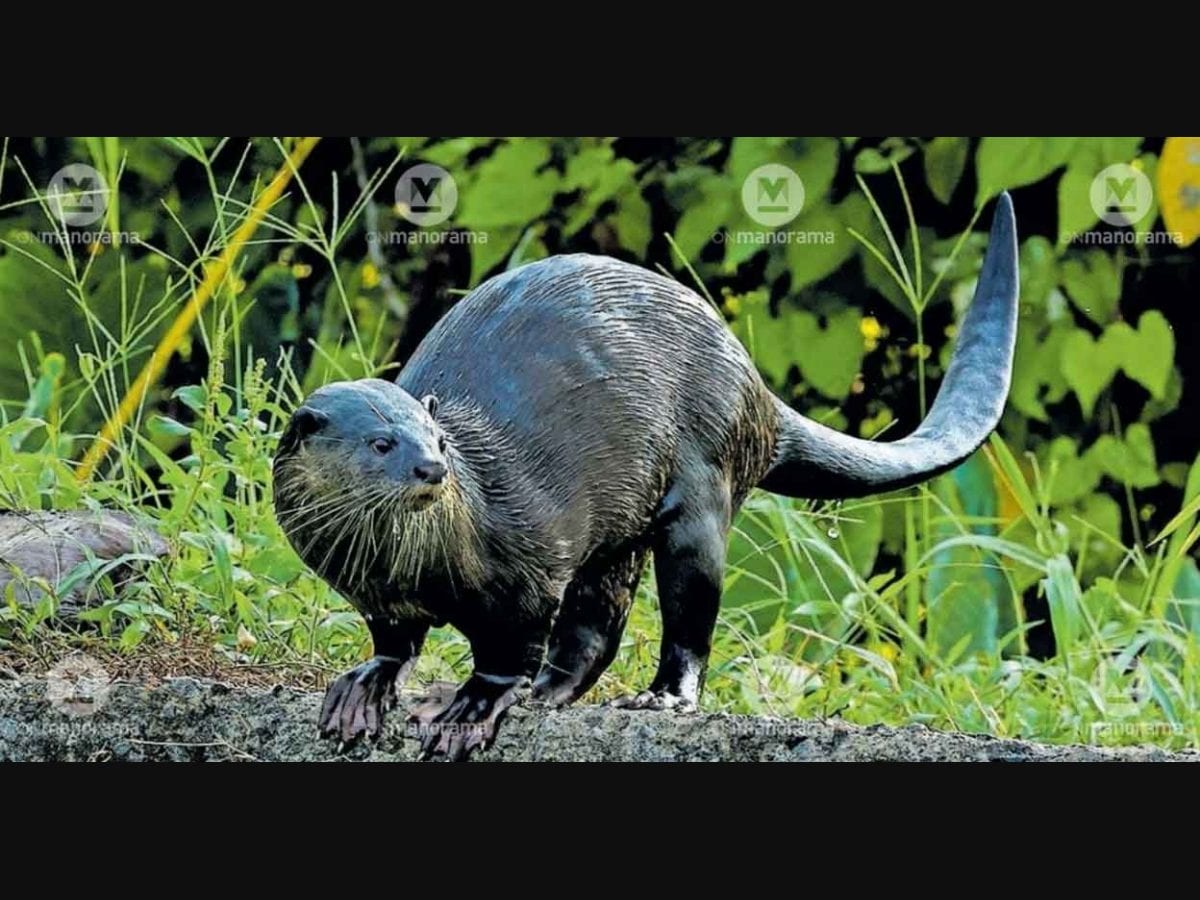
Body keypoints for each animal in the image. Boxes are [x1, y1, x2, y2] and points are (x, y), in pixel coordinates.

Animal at [273, 193, 1018, 761]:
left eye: (442, 441)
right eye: (382, 442)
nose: (431, 468)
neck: (412, 568)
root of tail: (752, 385)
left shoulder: (528, 565)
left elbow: (508, 645)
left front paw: (470, 708)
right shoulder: (376, 596)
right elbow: (392, 643)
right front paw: (365, 688)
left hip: (701, 480)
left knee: (684, 607)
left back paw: (661, 697)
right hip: (618, 533)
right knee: (597, 626)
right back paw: (548, 693)